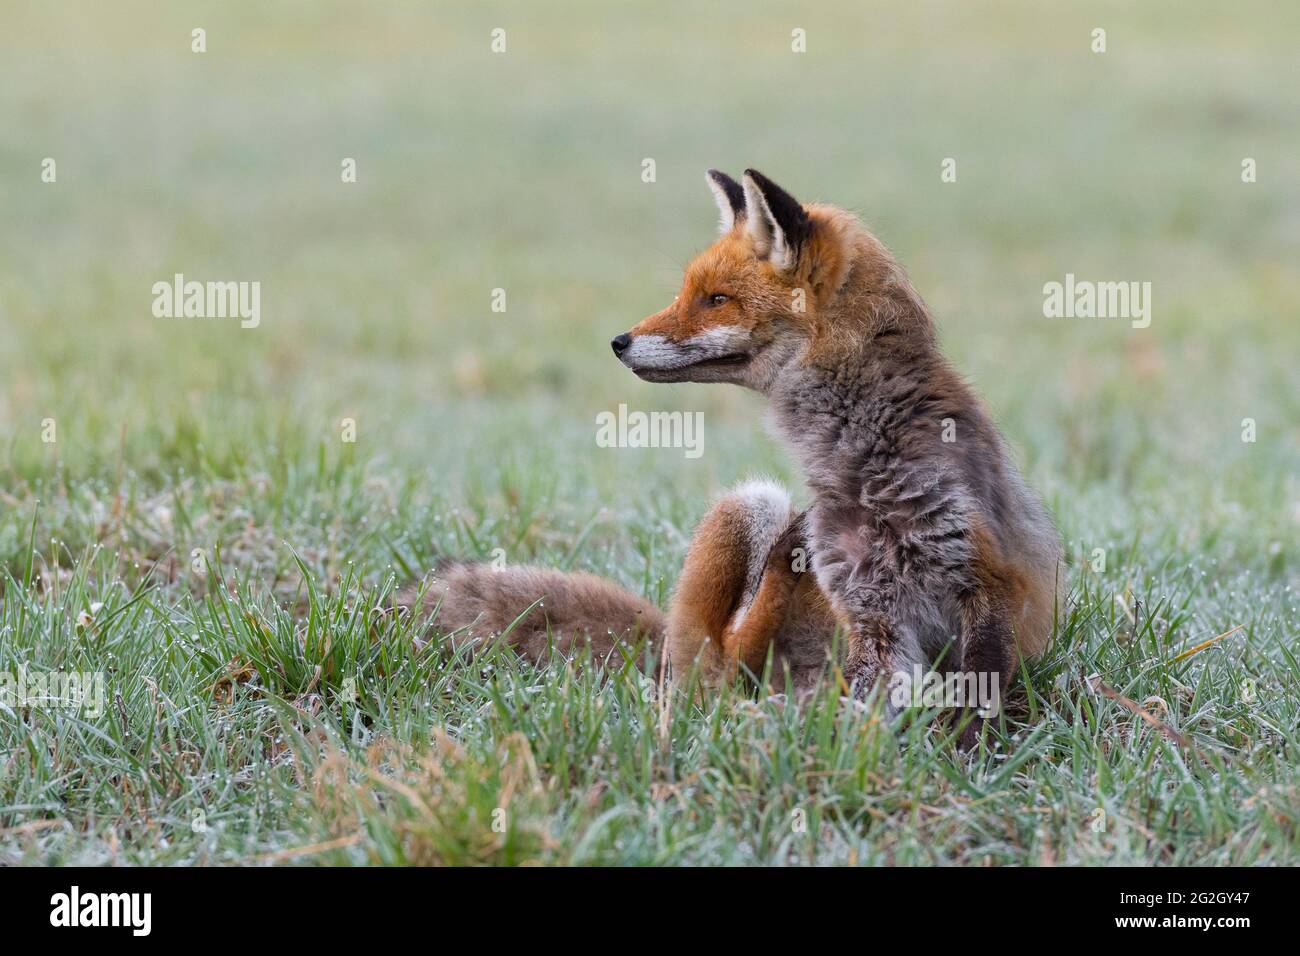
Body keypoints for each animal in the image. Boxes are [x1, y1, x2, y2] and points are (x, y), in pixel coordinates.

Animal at [414, 169, 1063, 744]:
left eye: (716, 299)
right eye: (688, 294)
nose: (618, 342)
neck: (864, 467)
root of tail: (664, 637)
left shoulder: (987, 580)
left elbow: (979, 694)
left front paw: (972, 759)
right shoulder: (869, 611)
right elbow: (864, 707)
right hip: (750, 508)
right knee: (722, 665)